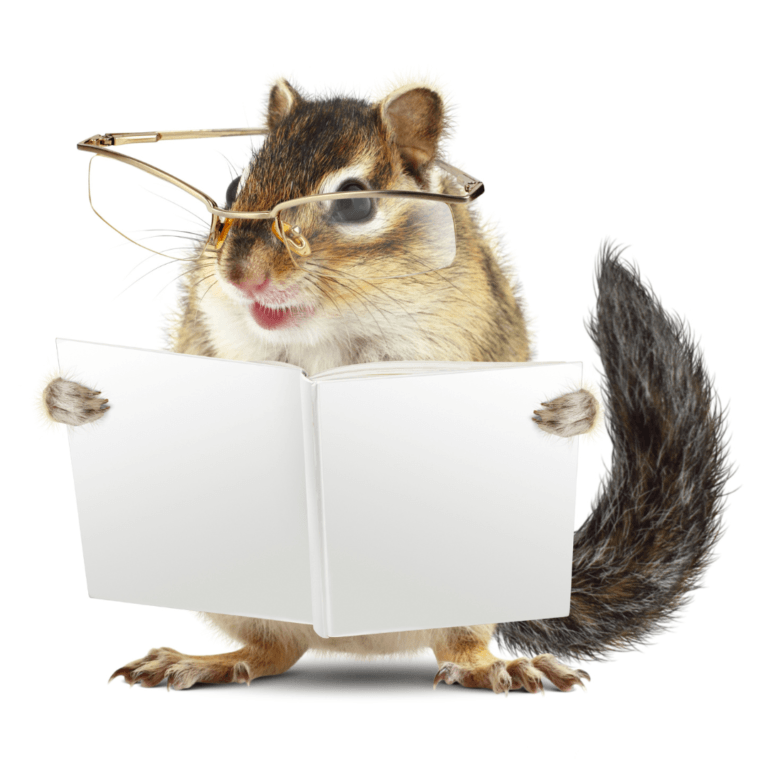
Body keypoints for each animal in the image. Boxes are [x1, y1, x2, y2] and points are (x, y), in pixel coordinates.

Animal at [43, 80, 727, 694]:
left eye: (354, 204)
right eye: (236, 189)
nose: (240, 273)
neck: (328, 333)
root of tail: (354, 640)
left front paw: (569, 410)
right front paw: (69, 399)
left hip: (465, 612)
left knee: (457, 645)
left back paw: (493, 667)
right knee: (271, 650)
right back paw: (207, 661)